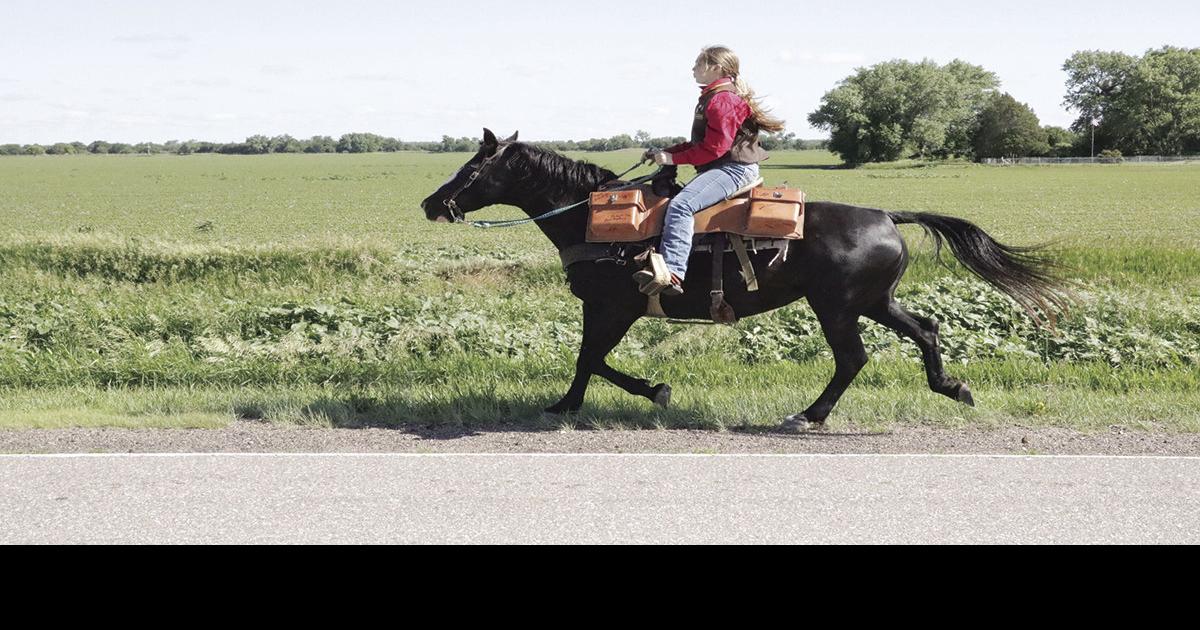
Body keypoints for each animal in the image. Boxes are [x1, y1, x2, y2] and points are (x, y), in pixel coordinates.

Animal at [420, 129, 1067, 432]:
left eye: (473, 166)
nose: (431, 203)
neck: (594, 217)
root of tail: (885, 214)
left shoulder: (614, 306)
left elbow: (591, 358)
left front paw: (629, 394)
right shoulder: (608, 308)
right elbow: (590, 359)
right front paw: (580, 401)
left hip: (837, 305)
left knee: (852, 358)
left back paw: (809, 415)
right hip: (873, 301)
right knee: (926, 330)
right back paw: (953, 387)